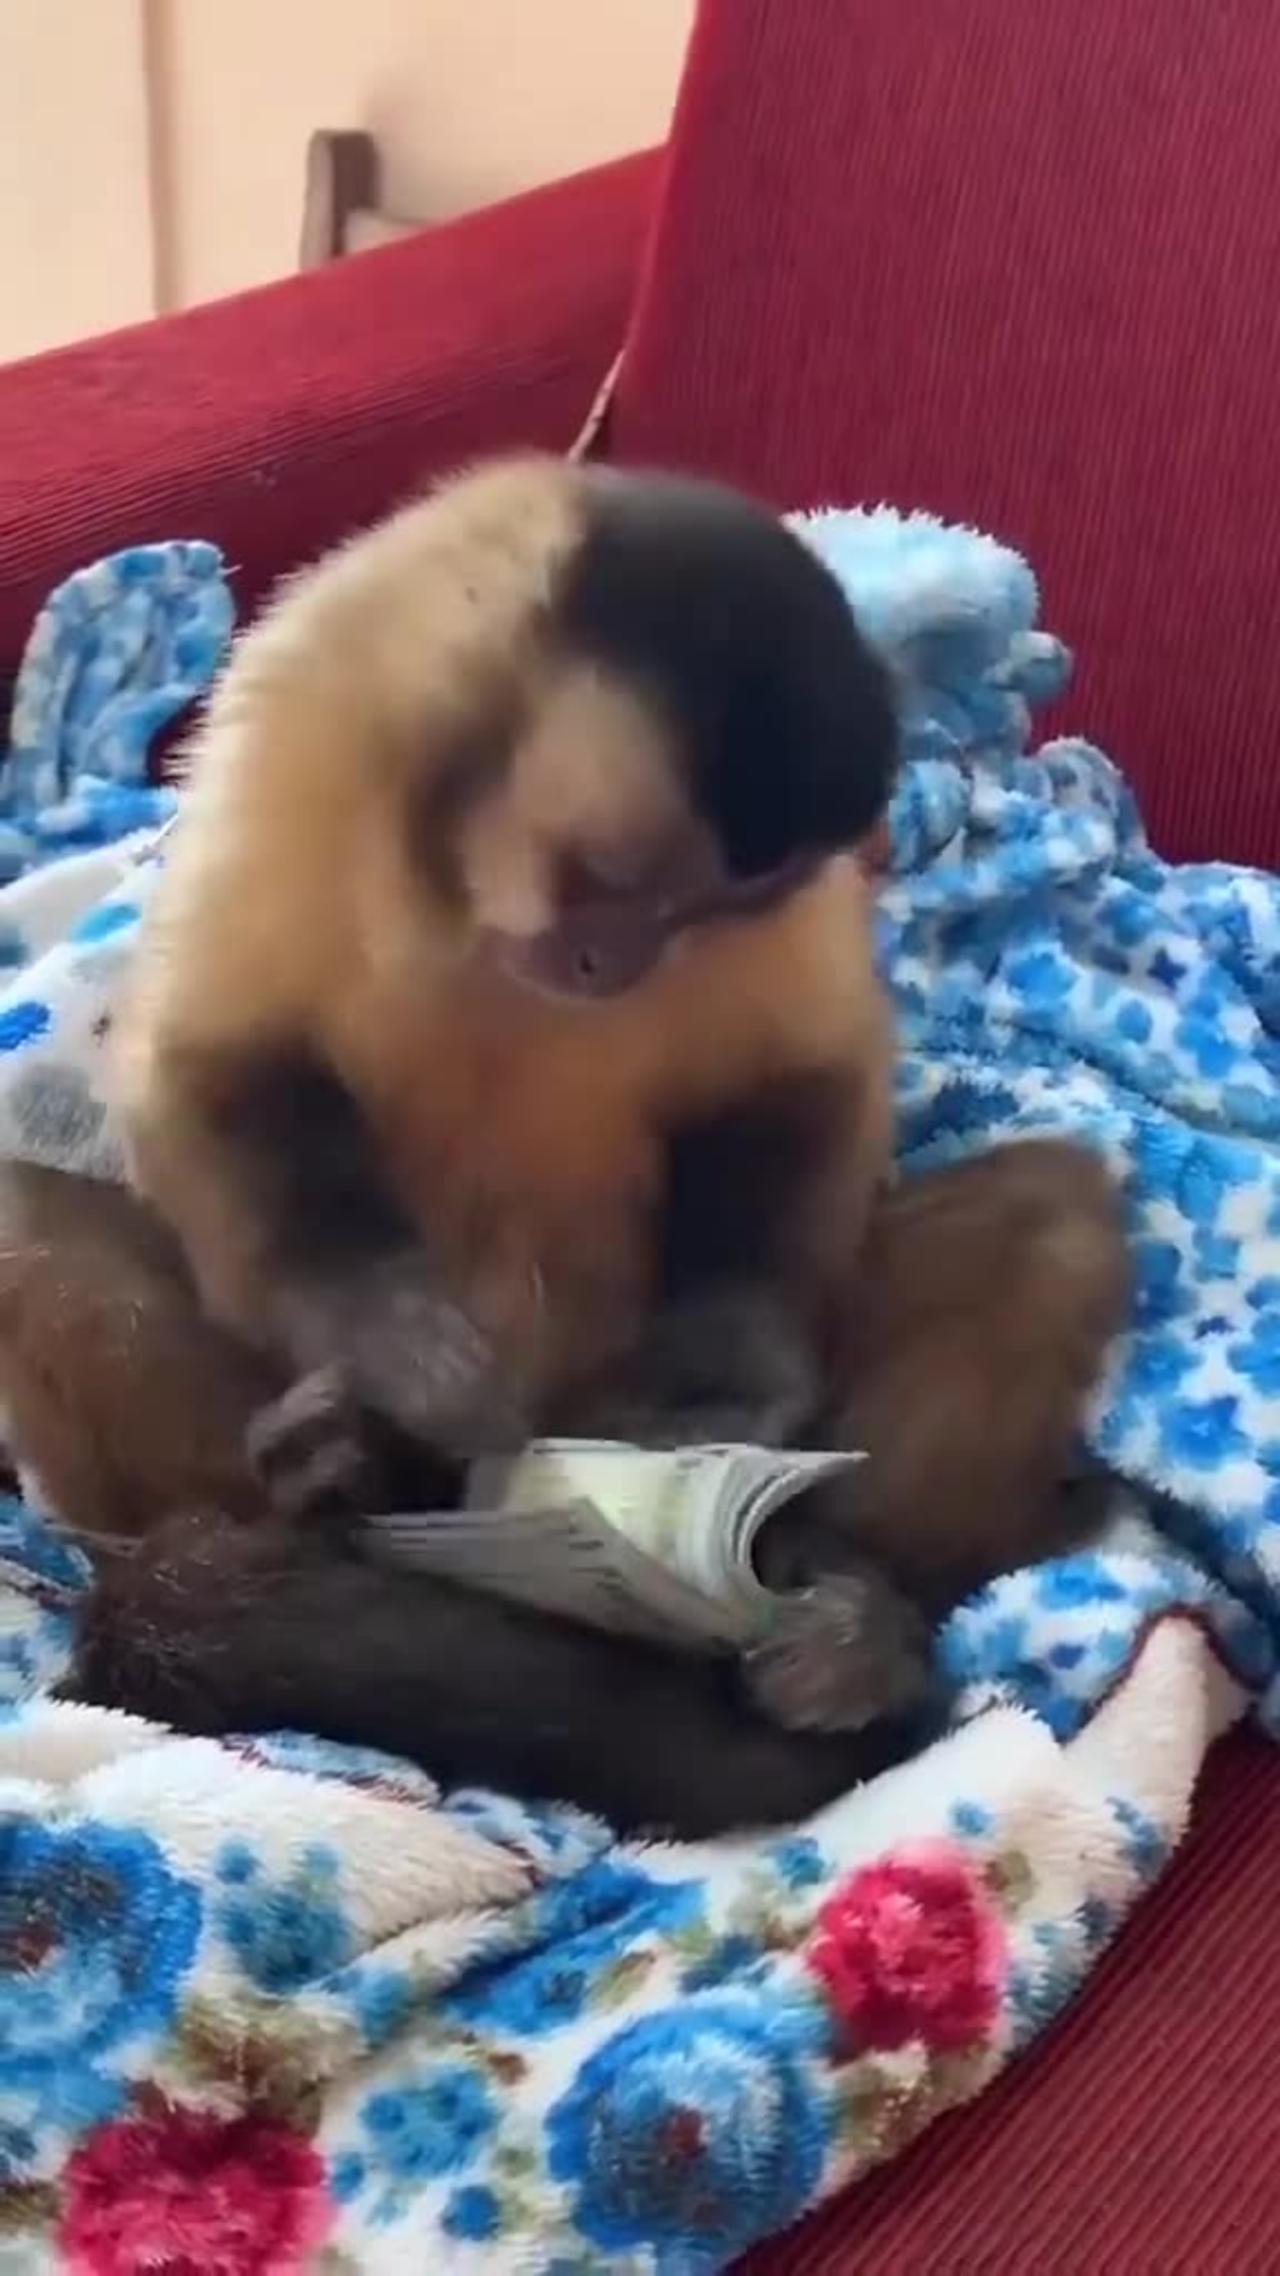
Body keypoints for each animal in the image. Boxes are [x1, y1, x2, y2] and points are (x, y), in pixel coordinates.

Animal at [0, 457, 1130, 1835]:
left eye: (705, 908)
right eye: (613, 878)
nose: (613, 962)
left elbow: (794, 1084)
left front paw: (723, 1394)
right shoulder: (308, 720)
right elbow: (221, 1067)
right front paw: (393, 1344)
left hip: (608, 1405)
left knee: (1050, 1222)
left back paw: (847, 1609)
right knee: (31, 1238)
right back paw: (332, 1479)